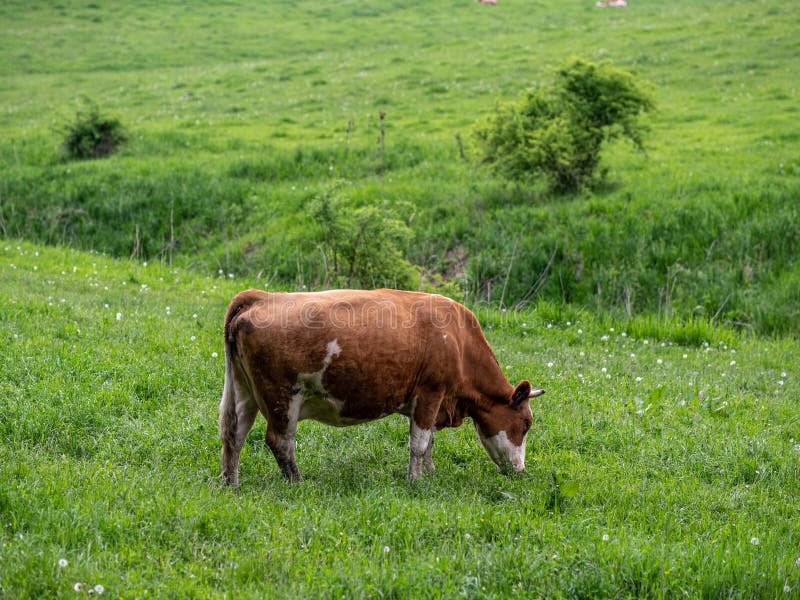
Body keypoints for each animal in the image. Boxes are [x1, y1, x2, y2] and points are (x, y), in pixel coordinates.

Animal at [218, 289, 544, 486]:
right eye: (526, 423)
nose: (520, 471)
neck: (459, 341)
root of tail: (262, 297)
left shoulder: (431, 402)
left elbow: (428, 443)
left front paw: (430, 474)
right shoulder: (431, 392)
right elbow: (419, 443)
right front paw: (415, 482)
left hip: (244, 391)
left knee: (233, 433)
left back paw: (231, 483)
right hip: (281, 398)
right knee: (279, 441)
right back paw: (298, 482)